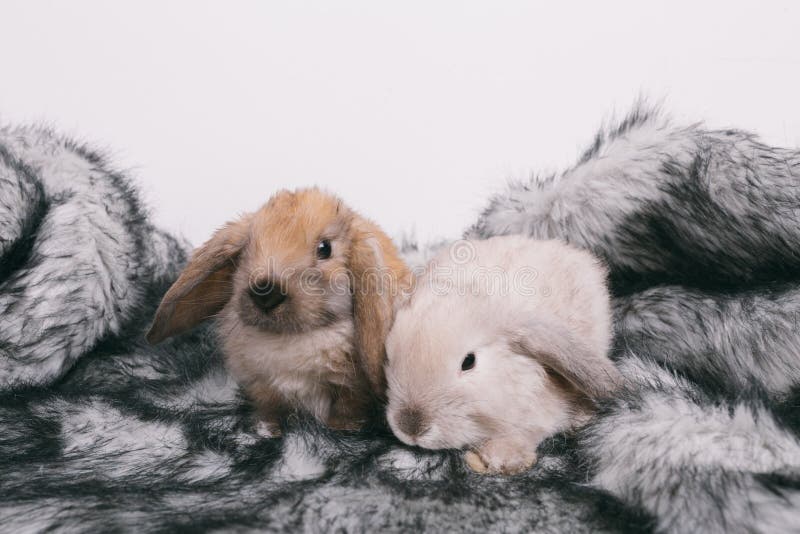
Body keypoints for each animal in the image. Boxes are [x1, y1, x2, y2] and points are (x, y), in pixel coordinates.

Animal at [147, 187, 412, 434]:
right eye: (246, 247)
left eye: (325, 248)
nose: (265, 293)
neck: (289, 338)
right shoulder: (262, 387)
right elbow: (269, 409)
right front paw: (266, 430)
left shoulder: (349, 389)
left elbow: (347, 407)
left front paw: (344, 428)